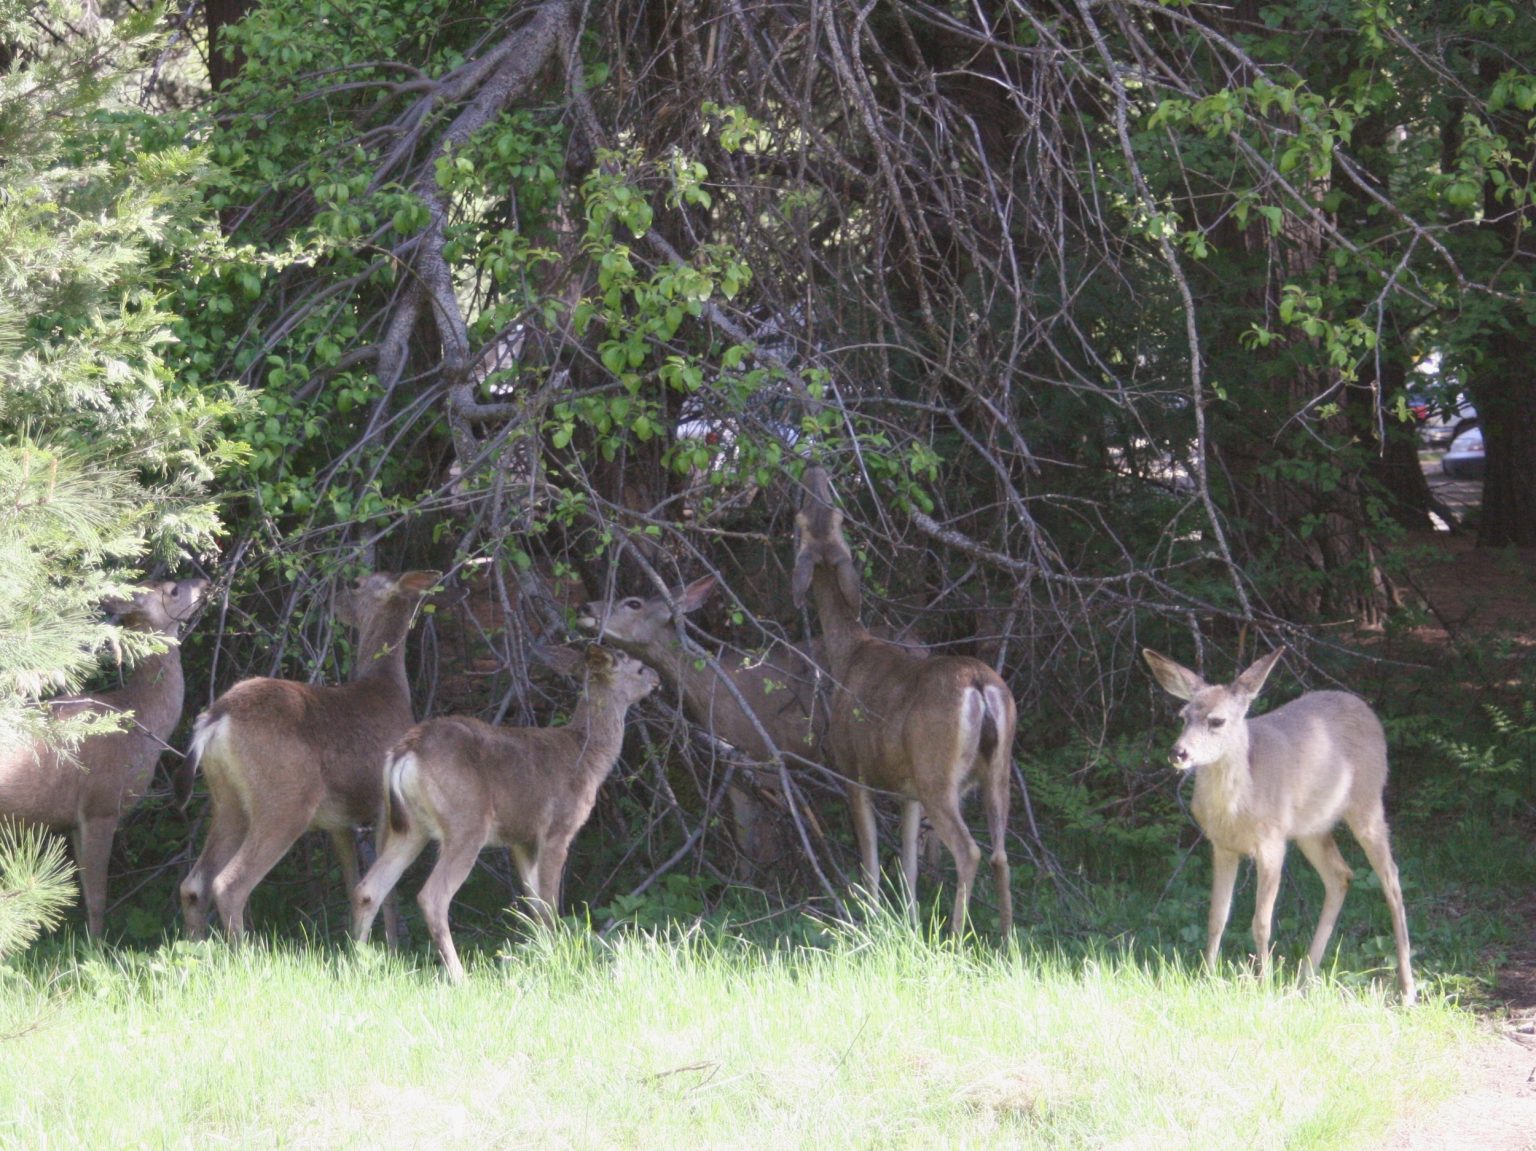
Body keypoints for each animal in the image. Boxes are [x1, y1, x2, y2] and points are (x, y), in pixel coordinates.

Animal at [0, 578, 207, 937]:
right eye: (172, 590)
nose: (205, 582)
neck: (139, 722)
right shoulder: (101, 804)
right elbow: (97, 896)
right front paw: (97, 944)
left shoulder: (75, 820)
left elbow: (83, 888)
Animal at [177, 569, 439, 941]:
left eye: (357, 584)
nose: (333, 599)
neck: (388, 689)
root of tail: (216, 716)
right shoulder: (384, 804)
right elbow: (384, 888)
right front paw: (389, 944)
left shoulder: (340, 821)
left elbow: (352, 879)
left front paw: (358, 942)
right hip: (286, 798)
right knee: (229, 883)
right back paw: (243, 950)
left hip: (227, 799)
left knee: (194, 884)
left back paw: (197, 946)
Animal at [350, 645, 659, 982]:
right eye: (639, 668)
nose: (658, 678)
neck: (588, 758)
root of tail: (405, 752)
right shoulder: (557, 829)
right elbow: (549, 902)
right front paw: (560, 958)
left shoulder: (522, 839)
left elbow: (534, 901)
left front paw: (544, 953)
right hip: (466, 822)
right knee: (432, 896)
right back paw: (459, 976)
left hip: (408, 828)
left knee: (368, 889)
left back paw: (357, 964)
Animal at [791, 466, 1016, 935]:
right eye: (833, 514)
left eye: (801, 520)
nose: (815, 470)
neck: (848, 655)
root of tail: (979, 686)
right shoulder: (906, 789)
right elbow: (909, 864)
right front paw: (909, 924)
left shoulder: (853, 769)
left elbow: (871, 860)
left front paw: (873, 920)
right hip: (997, 769)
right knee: (1001, 853)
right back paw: (1007, 940)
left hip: (938, 773)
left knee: (969, 850)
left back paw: (955, 937)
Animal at [1142, 647, 1416, 1004]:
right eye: (1183, 715)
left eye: (1217, 720)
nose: (1178, 753)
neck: (1238, 804)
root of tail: (1364, 707)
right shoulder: (1221, 845)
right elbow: (1216, 916)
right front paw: (1207, 977)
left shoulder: (1271, 842)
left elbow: (1261, 921)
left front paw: (1263, 984)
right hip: (1311, 829)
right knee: (1340, 875)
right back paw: (1304, 978)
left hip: (1367, 802)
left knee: (1391, 877)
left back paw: (1407, 989)